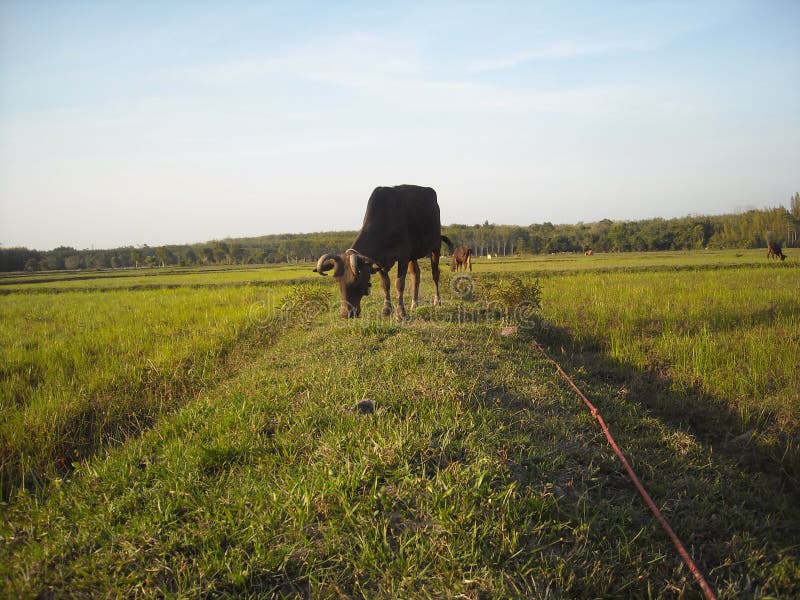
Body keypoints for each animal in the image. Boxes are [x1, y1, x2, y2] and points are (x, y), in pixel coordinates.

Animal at [314, 185, 453, 318]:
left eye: (356, 280)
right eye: (337, 281)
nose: (345, 314)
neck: (385, 219)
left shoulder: (403, 256)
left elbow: (399, 283)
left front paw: (401, 313)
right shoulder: (379, 260)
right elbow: (385, 284)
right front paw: (386, 310)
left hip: (436, 247)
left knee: (435, 274)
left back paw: (437, 301)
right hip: (413, 255)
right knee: (416, 275)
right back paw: (414, 304)